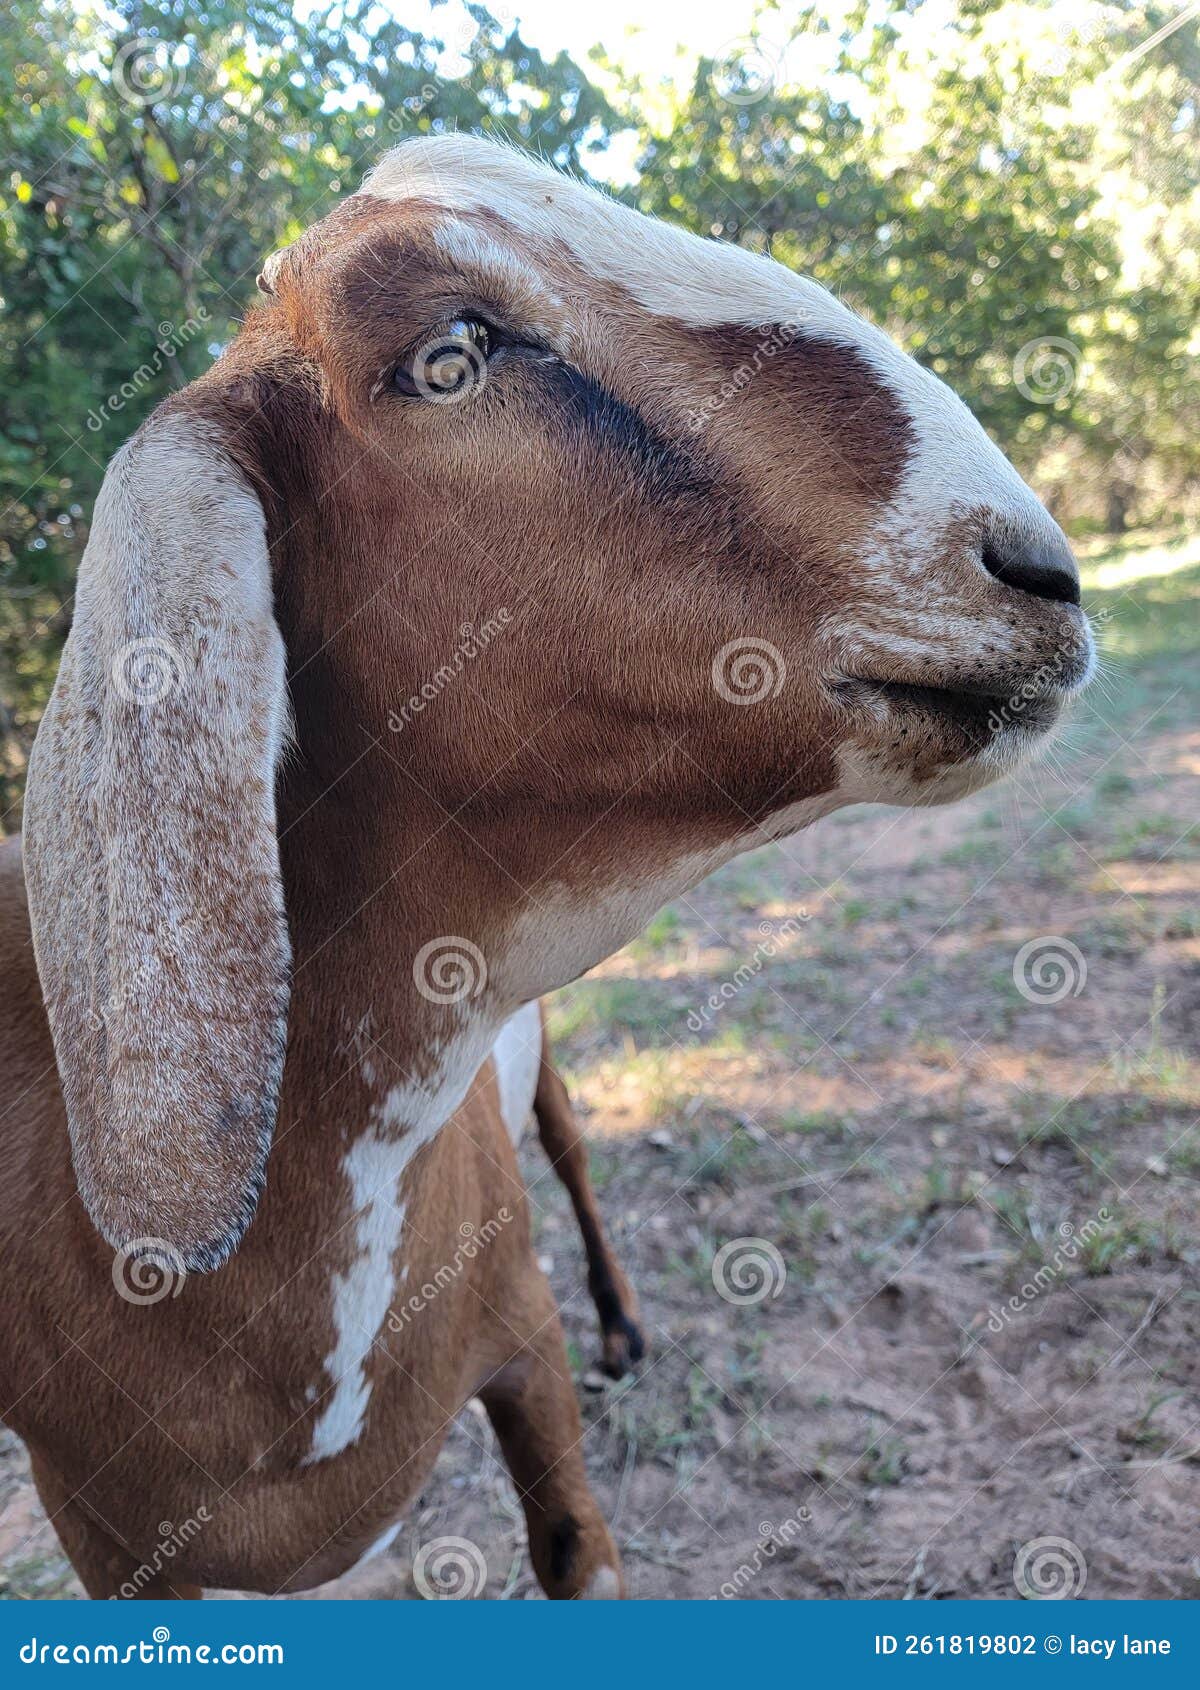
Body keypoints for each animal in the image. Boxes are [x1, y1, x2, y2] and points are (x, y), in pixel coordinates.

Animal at [1, 135, 1093, 1600]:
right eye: (449, 357)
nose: (1035, 566)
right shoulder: (121, 1550)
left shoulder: (520, 1331)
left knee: (572, 1143)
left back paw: (628, 1323)